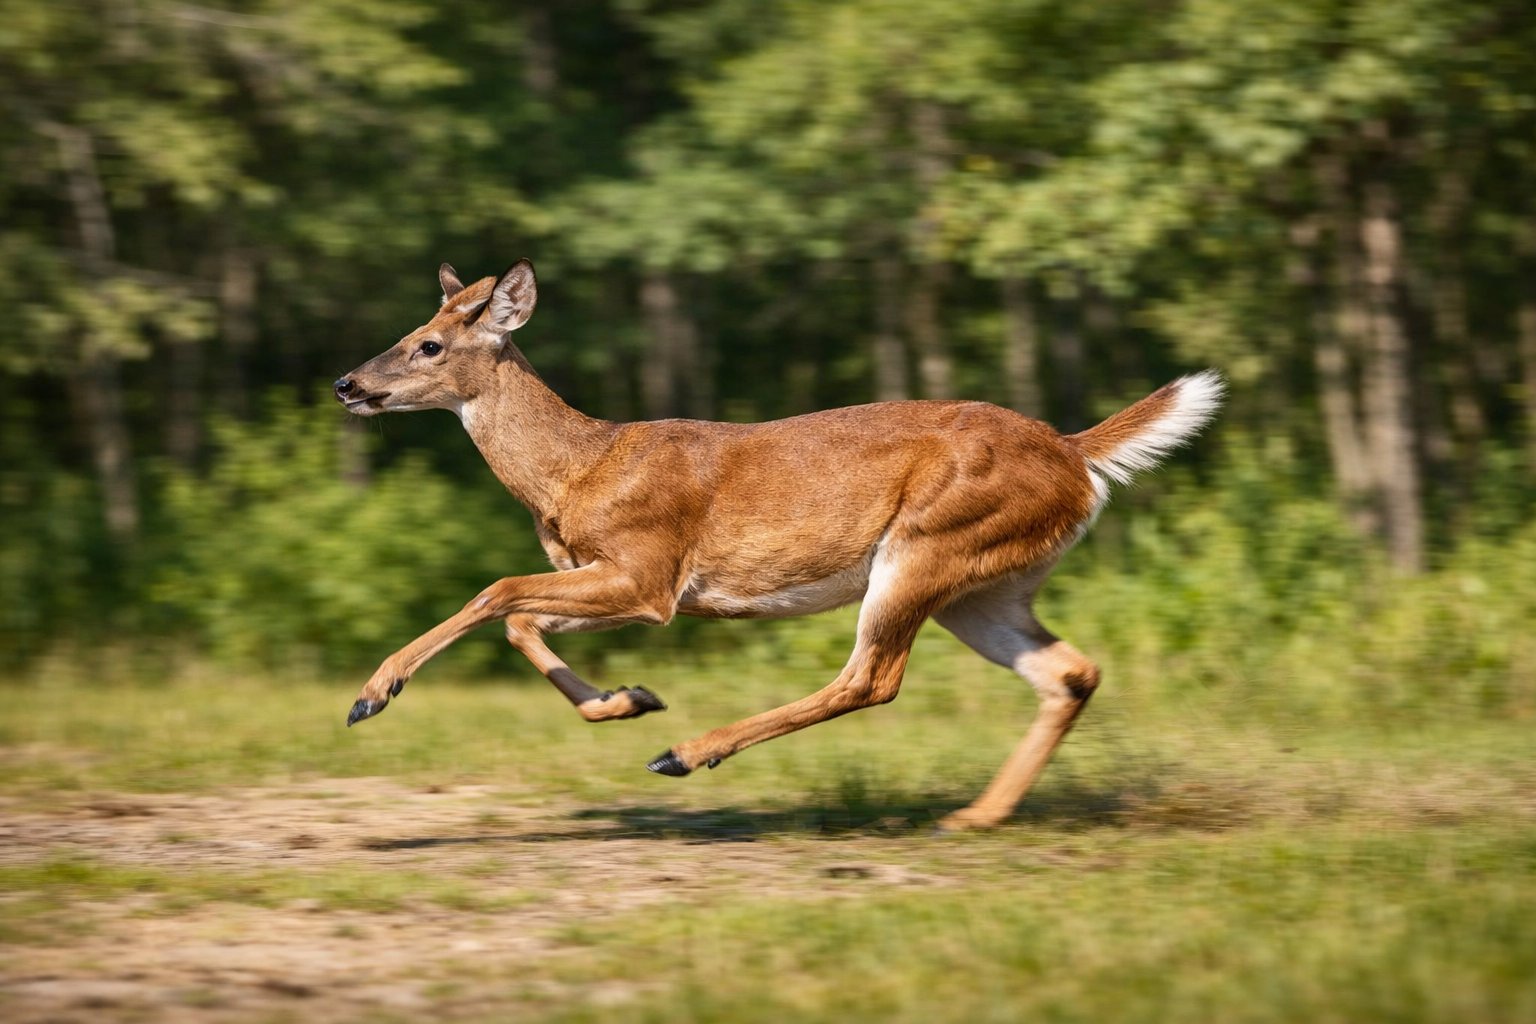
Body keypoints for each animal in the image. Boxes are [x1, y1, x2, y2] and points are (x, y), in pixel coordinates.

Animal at [333, 259, 1223, 830]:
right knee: (1069, 671)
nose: (347, 383)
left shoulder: (649, 572)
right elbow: (521, 617)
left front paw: (374, 693)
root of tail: (1075, 454)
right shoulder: (626, 583)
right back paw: (976, 816)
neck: (578, 469)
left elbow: (497, 593)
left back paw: (685, 753)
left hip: (927, 545)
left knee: (871, 677)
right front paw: (628, 698)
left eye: (428, 344)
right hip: (985, 586)